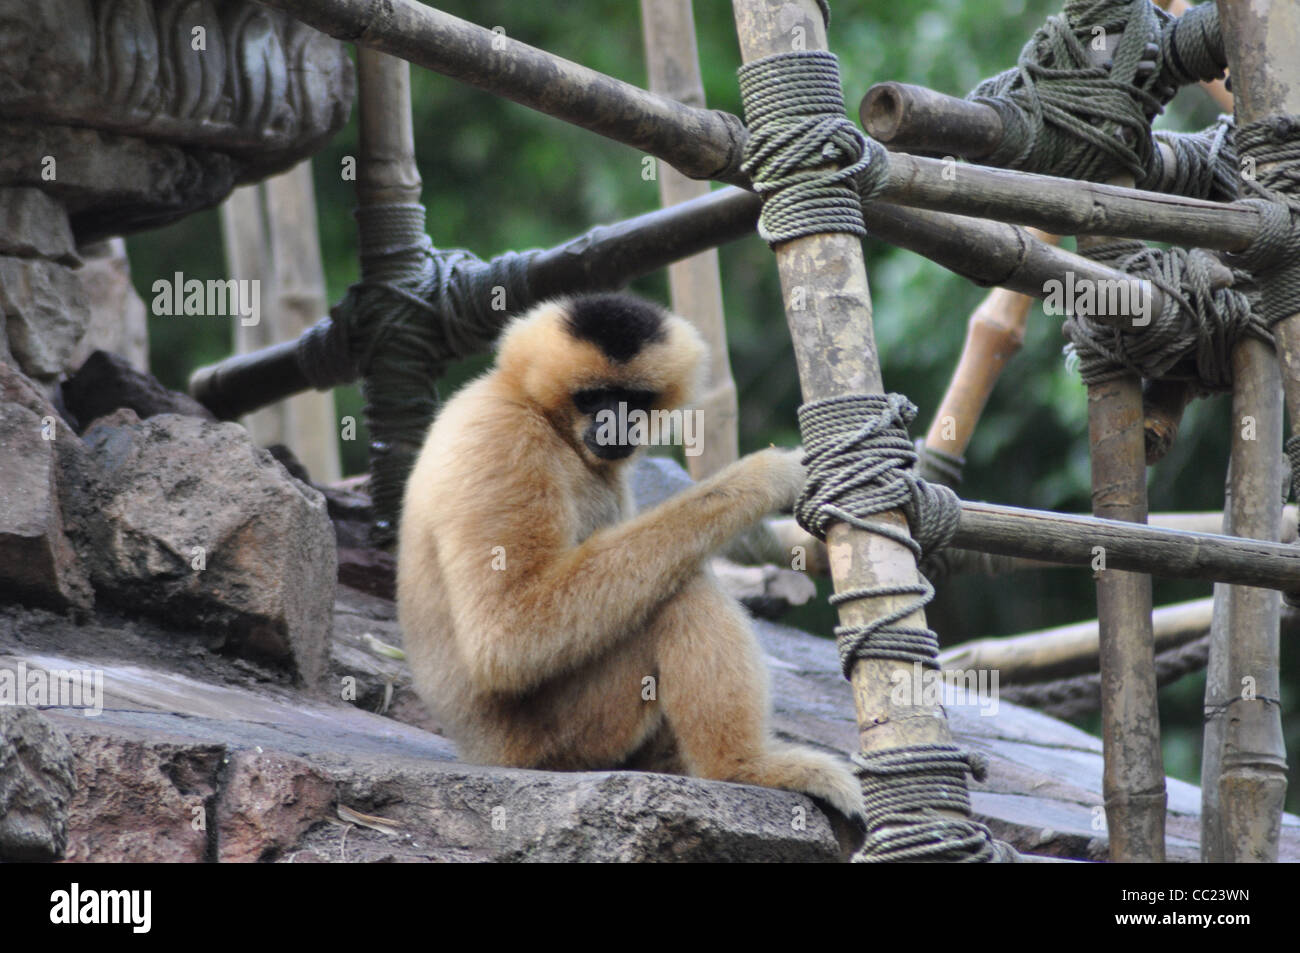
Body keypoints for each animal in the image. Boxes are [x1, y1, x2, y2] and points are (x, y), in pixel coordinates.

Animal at [396, 292, 864, 823]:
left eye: (632, 400)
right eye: (593, 397)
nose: (612, 424)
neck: (540, 414)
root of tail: (484, 751)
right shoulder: (502, 440)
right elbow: (506, 636)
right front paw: (765, 476)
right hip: (561, 733)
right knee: (681, 592)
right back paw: (743, 767)